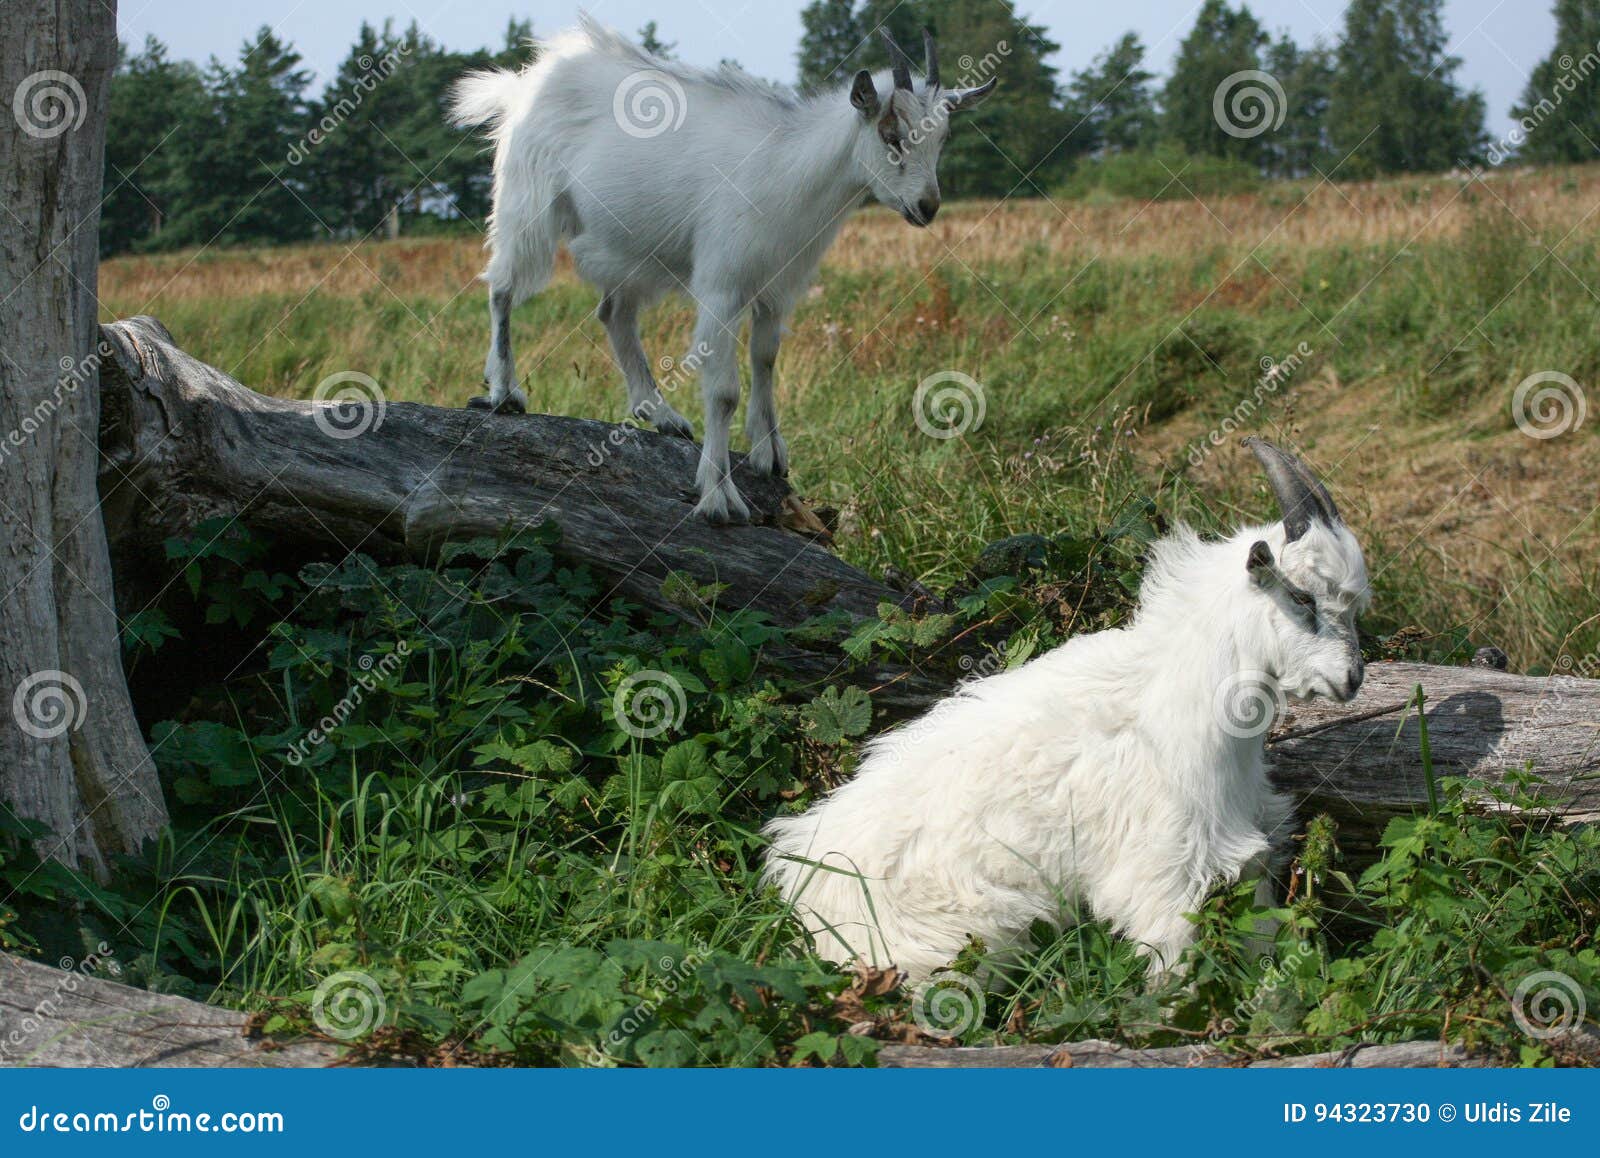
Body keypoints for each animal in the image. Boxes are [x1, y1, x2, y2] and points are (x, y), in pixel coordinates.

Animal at [450, 16, 995, 523]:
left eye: (943, 137)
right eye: (890, 134)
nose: (927, 207)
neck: (790, 168)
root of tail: (525, 82)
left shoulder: (777, 287)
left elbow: (766, 360)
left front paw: (770, 453)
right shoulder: (722, 286)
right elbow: (724, 391)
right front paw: (718, 497)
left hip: (633, 247)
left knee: (614, 313)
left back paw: (662, 415)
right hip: (527, 201)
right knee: (501, 287)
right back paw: (504, 392)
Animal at [763, 439, 1370, 980]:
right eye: (1303, 598)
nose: (1352, 678)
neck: (1173, 694)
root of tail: (808, 900)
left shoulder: (1246, 838)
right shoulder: (1163, 871)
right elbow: (1174, 969)